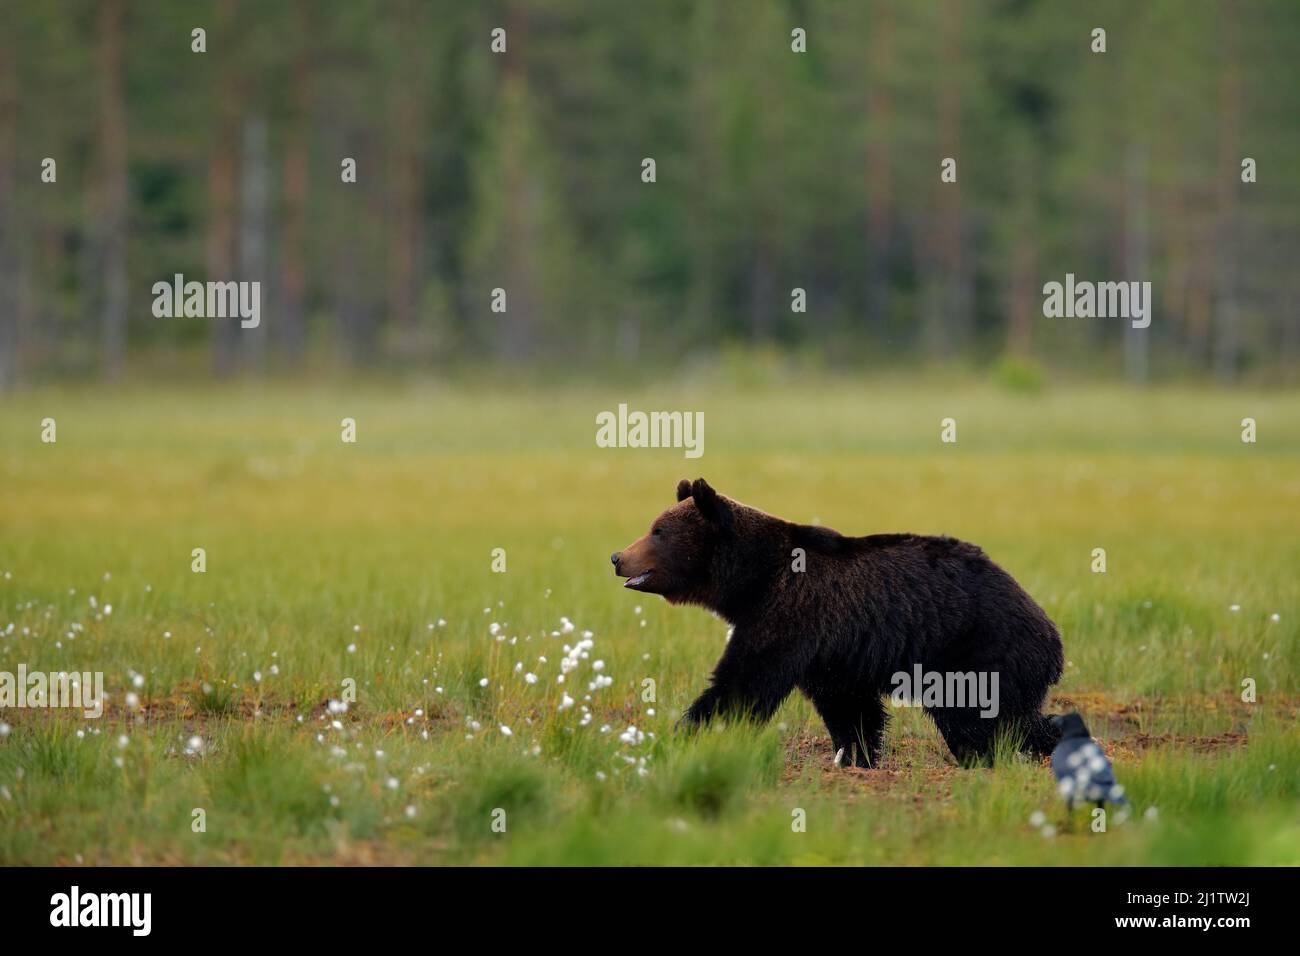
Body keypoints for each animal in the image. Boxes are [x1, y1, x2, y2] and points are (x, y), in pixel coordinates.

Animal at [611, 478, 1064, 767]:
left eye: (657, 531)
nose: (617, 557)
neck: (751, 580)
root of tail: (1051, 631)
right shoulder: (832, 649)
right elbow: (849, 706)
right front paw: (856, 756)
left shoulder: (791, 615)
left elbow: (743, 684)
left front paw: (685, 734)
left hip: (980, 649)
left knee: (979, 719)